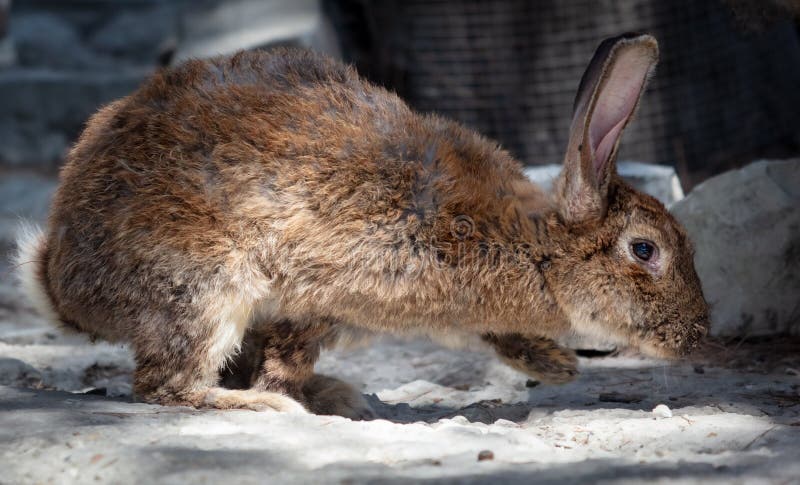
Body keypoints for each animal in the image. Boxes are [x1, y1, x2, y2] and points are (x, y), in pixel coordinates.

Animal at [15, 32, 708, 418]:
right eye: (644, 250)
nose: (697, 338)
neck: (533, 244)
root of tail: (63, 285)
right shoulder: (319, 292)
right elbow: (286, 356)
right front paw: (288, 394)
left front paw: (555, 365)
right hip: (204, 287)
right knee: (165, 385)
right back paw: (261, 403)